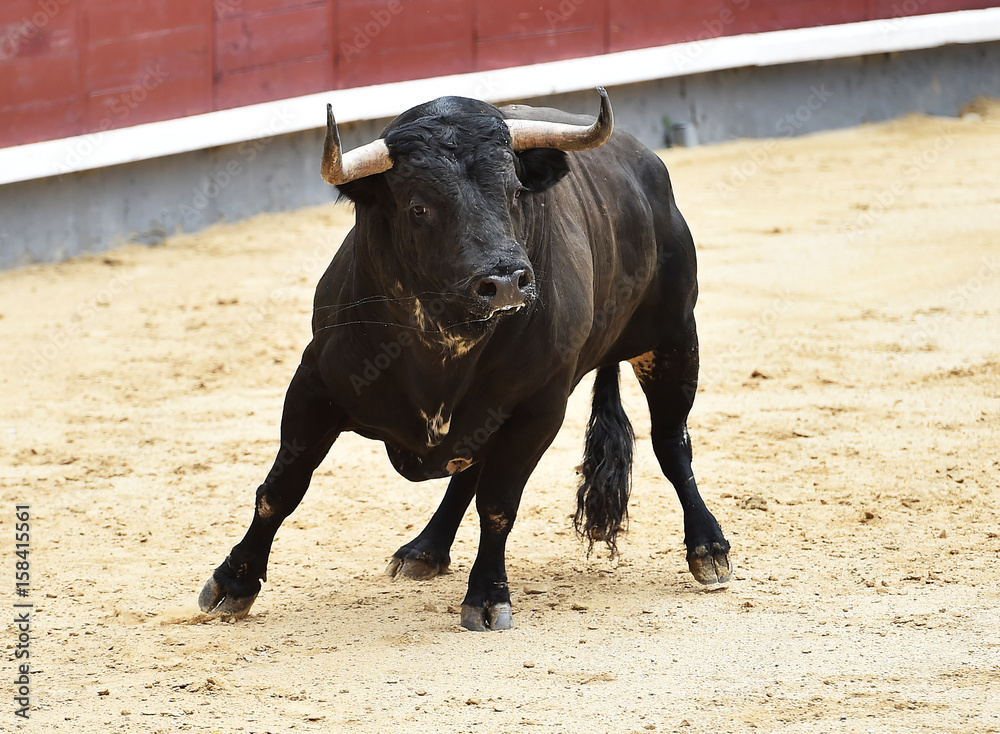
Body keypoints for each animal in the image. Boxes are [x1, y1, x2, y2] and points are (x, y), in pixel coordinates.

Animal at [198, 88, 732, 631]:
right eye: (418, 207)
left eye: (515, 192)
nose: (507, 282)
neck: (439, 349)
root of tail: (646, 165)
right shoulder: (314, 385)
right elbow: (281, 488)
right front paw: (233, 583)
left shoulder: (539, 409)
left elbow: (498, 504)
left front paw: (488, 596)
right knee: (466, 475)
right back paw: (425, 549)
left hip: (674, 339)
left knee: (671, 442)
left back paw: (708, 548)